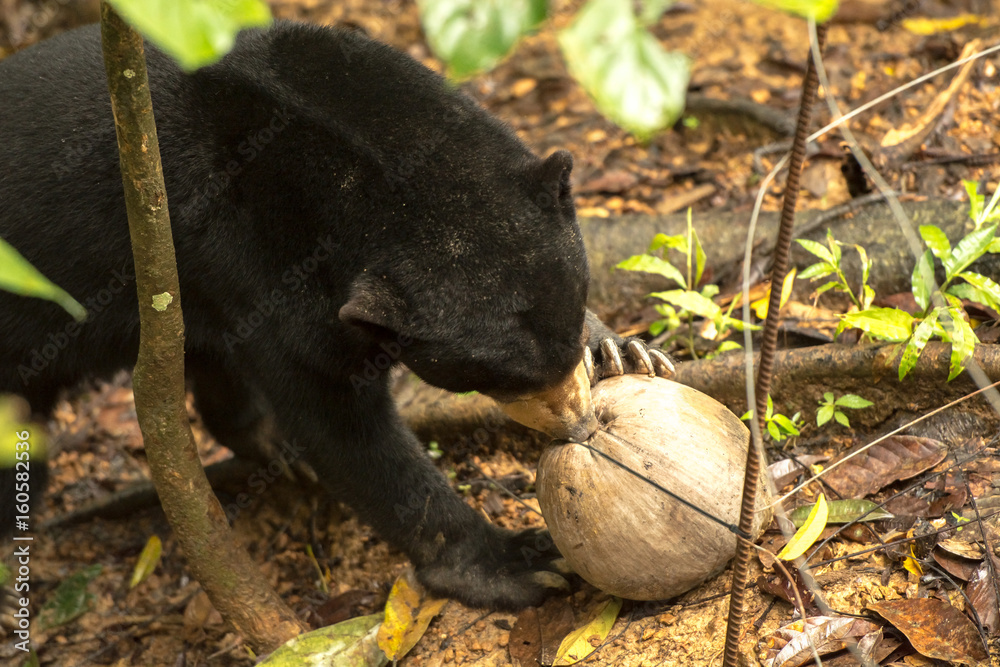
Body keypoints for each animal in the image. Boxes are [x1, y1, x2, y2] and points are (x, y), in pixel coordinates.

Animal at [0, 21, 671, 610]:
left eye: (573, 310)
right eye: (495, 375)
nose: (580, 425)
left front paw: (620, 349)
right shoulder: (247, 256)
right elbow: (337, 416)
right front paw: (519, 561)